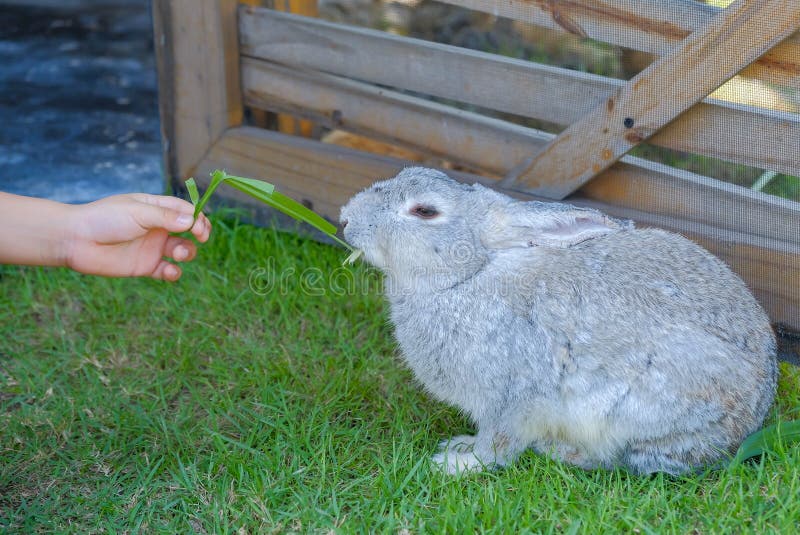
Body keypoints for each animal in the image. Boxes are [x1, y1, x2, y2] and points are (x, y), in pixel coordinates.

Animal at [339, 167, 778, 475]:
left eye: (424, 211)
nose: (345, 219)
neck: (471, 273)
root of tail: (751, 420)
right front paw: (458, 448)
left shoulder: (511, 397)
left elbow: (498, 444)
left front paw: (455, 465)